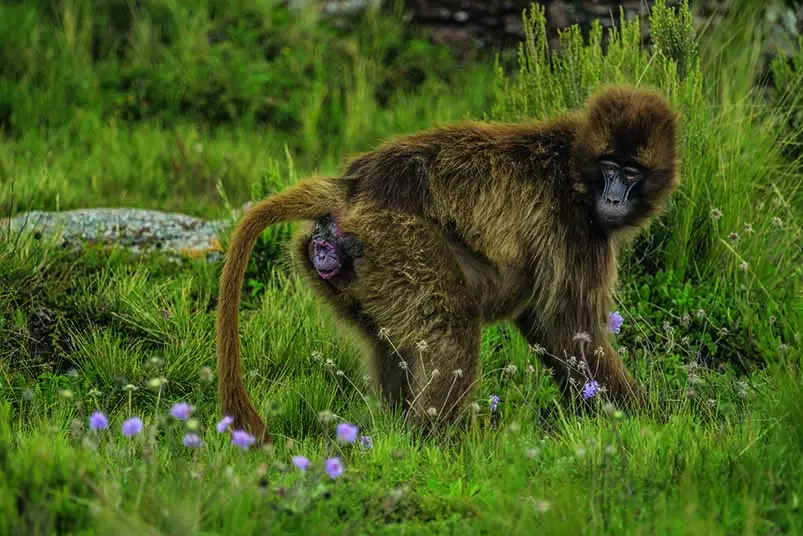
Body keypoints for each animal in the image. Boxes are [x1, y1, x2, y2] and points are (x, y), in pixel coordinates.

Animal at [217, 85, 680, 444]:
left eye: (632, 172)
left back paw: (399, 432)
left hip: (342, 266)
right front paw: (648, 421)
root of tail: (351, 187)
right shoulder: (577, 229)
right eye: (610, 168)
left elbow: (547, 328)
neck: (575, 166)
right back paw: (439, 442)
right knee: (452, 325)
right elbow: (573, 331)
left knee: (395, 342)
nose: (614, 200)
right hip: (394, 241)